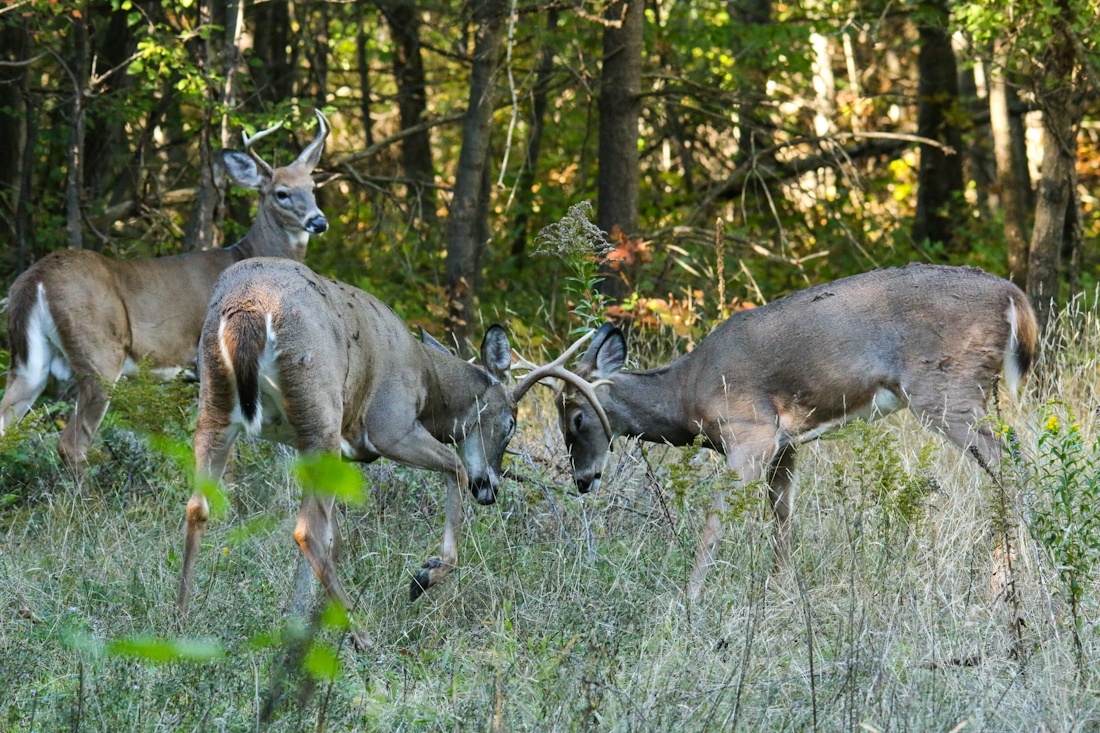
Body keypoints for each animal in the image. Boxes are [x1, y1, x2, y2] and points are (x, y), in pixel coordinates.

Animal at [0, 110, 330, 471]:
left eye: (313, 187)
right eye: (281, 193)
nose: (319, 221)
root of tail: (35, 278)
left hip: (28, 360)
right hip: (100, 353)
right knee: (71, 443)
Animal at [176, 258, 607, 648]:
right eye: (511, 422)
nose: (490, 489)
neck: (430, 384)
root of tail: (248, 309)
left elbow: (336, 537)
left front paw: (295, 619)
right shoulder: (390, 427)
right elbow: (454, 467)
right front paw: (424, 576)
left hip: (217, 407)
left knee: (199, 506)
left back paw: (181, 618)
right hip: (322, 414)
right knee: (305, 529)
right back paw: (362, 634)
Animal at [528, 264, 1039, 601]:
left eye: (575, 418)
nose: (582, 480)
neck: (687, 394)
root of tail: (1014, 297)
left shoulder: (749, 433)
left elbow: (715, 521)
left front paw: (689, 597)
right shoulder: (786, 446)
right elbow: (783, 518)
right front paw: (784, 590)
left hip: (946, 390)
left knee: (1011, 461)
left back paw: (1007, 578)